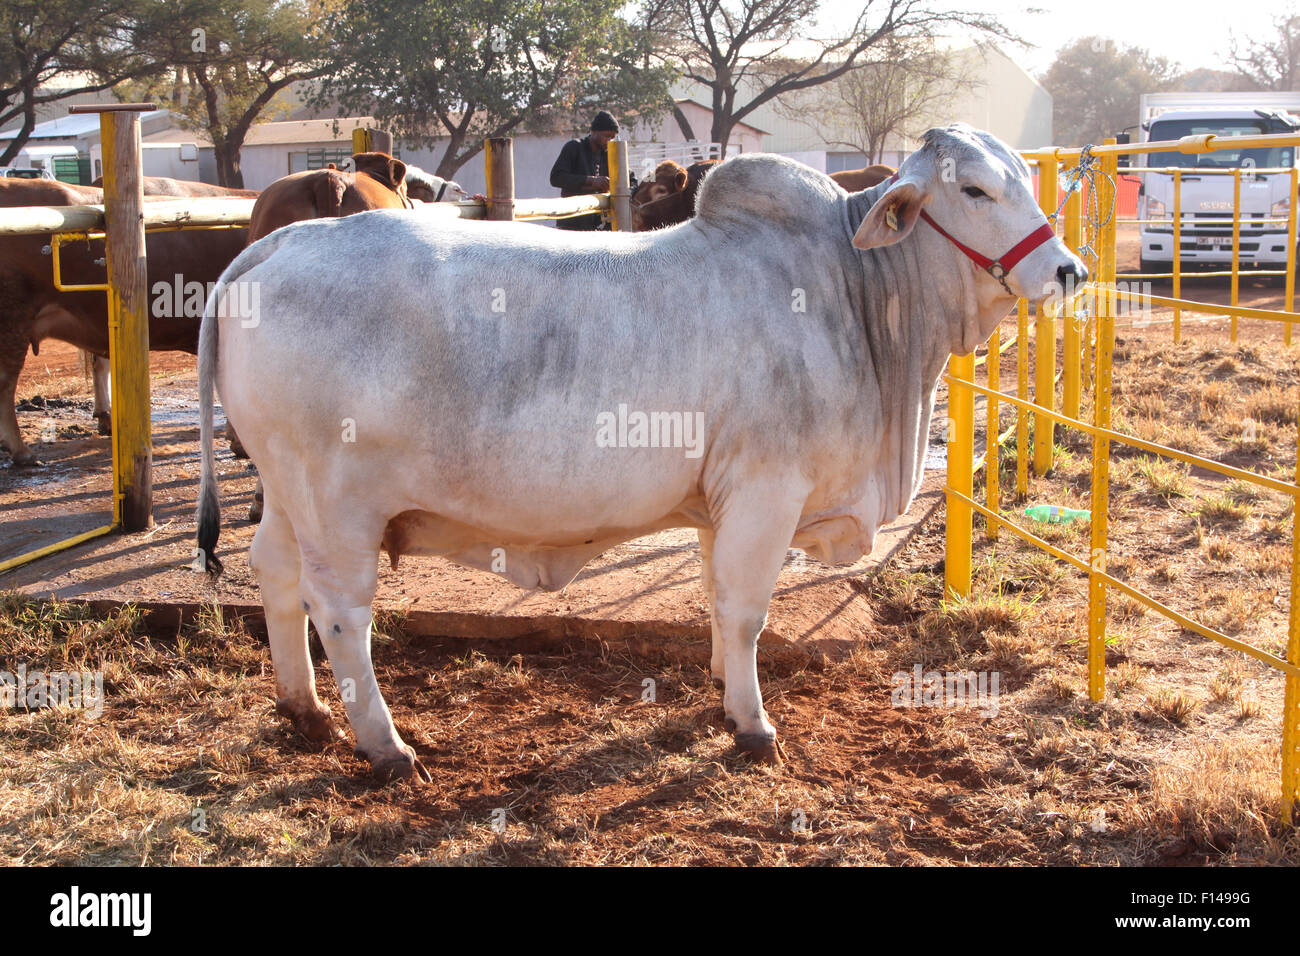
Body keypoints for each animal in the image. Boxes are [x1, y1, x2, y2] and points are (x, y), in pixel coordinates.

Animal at [195, 124, 1086, 782]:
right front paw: (753, 726)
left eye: (1025, 180)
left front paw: (725, 691)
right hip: (335, 504)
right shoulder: (768, 492)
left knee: (273, 571)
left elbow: (718, 603)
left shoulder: (720, 505)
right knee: (342, 612)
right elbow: (747, 609)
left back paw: (304, 709)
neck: (853, 290)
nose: (1068, 271)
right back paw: (386, 747)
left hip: (288, 492)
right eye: (974, 190)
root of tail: (276, 247)